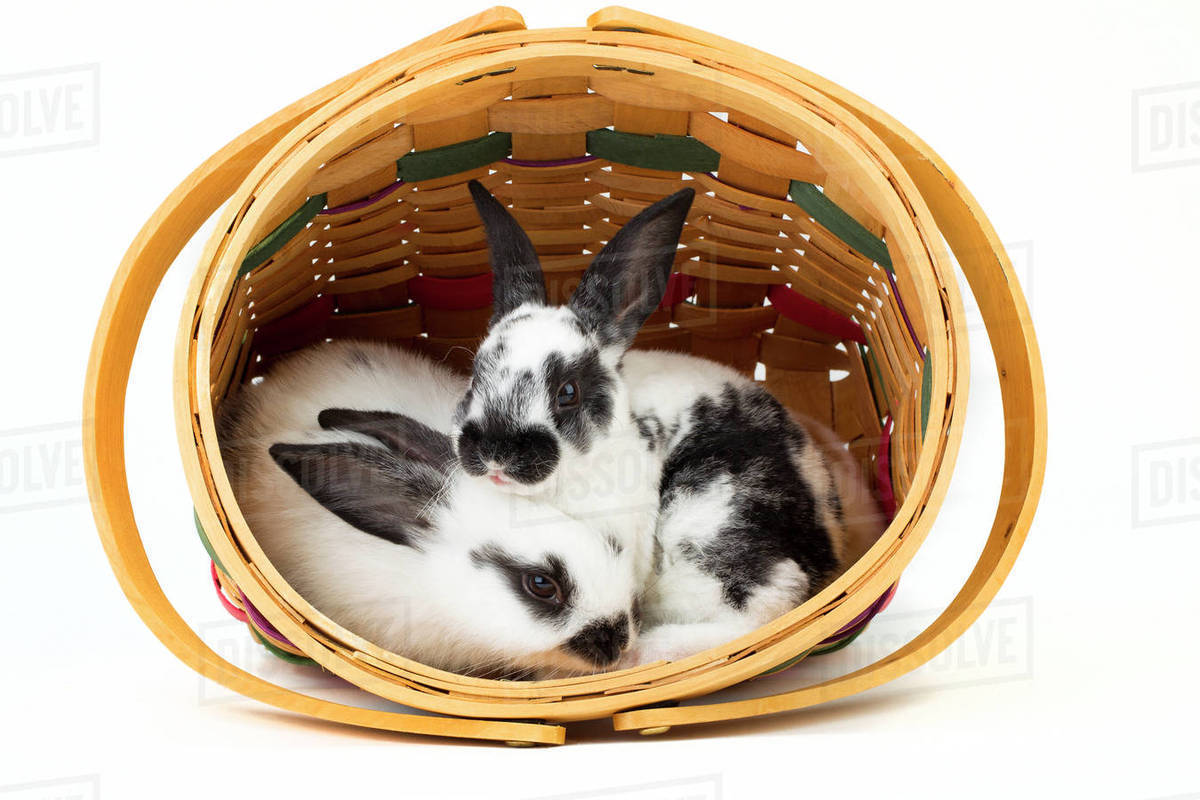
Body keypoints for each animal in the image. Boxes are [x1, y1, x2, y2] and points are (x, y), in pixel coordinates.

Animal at [455, 182, 885, 667]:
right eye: (476, 375)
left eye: (568, 392)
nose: (495, 452)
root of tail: (829, 550)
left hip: (710, 518)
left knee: (761, 614)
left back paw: (651, 651)